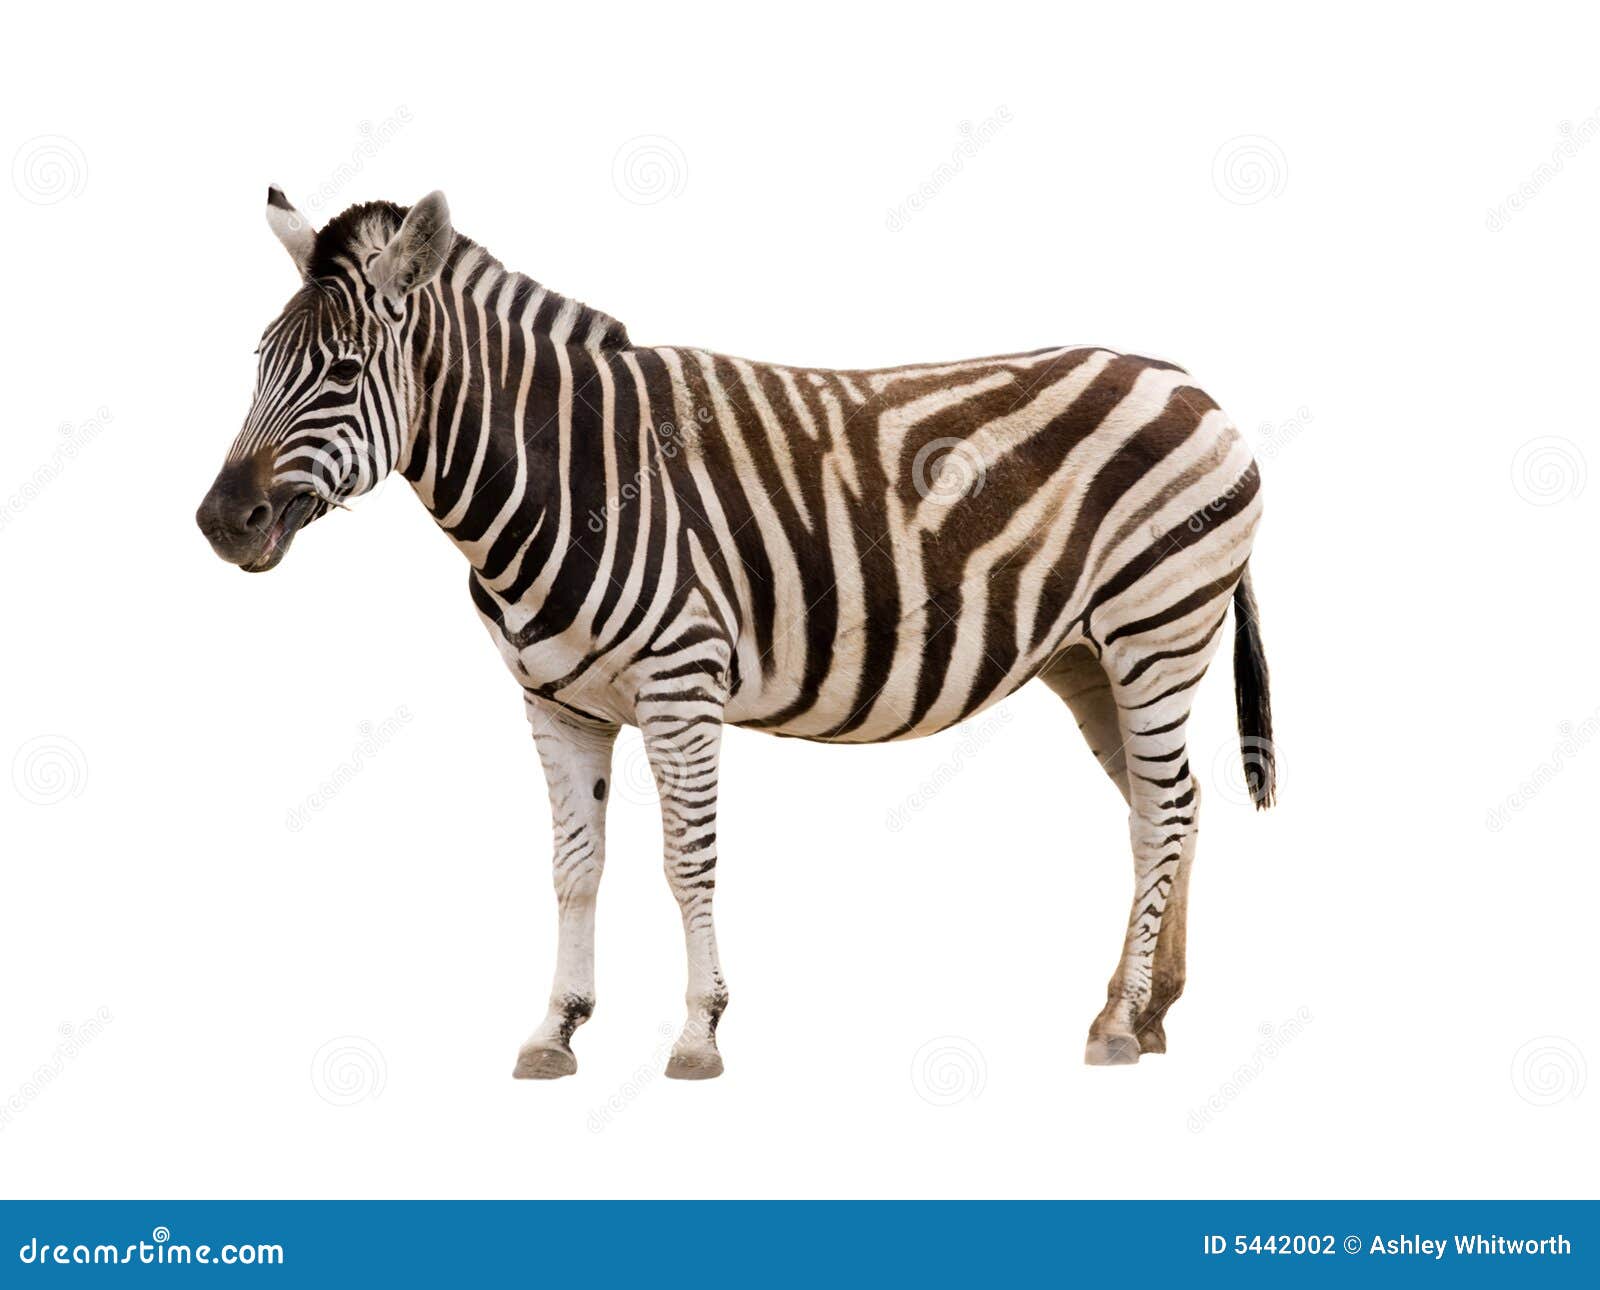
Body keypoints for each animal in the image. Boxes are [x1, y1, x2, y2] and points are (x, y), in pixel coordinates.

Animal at [197, 188, 1275, 1079]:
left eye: (342, 371)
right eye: (257, 365)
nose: (219, 523)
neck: (569, 475)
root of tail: (1188, 381)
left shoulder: (682, 685)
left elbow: (687, 861)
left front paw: (698, 1033)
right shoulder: (556, 705)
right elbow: (574, 869)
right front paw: (556, 1030)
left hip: (1155, 631)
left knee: (1166, 809)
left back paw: (1121, 1024)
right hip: (1088, 658)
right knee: (1162, 810)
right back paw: (1149, 1010)